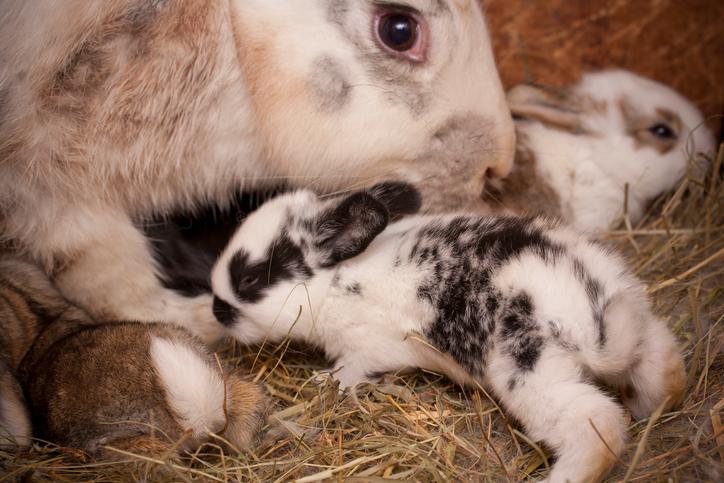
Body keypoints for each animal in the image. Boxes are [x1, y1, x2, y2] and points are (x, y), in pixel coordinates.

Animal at [210, 182, 685, 483]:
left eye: (249, 279)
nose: (217, 310)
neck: (337, 279)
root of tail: (593, 320)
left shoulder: (365, 346)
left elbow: (353, 369)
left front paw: (327, 382)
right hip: (642, 332)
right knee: (662, 364)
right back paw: (649, 405)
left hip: (532, 374)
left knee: (596, 426)